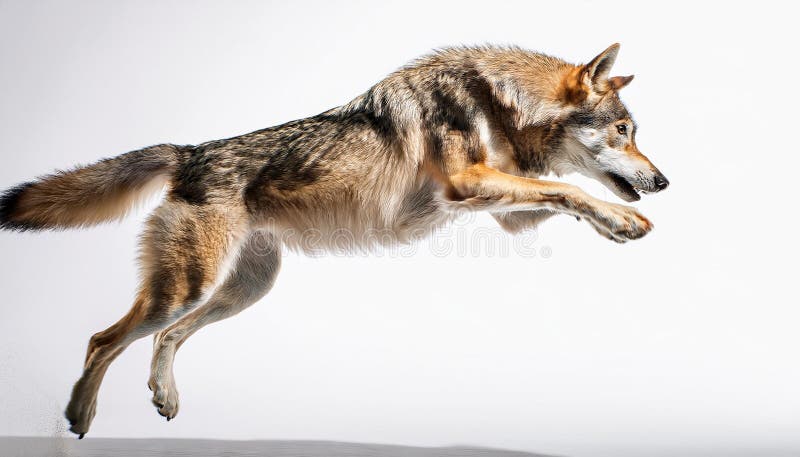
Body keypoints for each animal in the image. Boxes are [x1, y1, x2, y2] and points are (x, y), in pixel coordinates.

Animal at [0, 43, 668, 437]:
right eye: (623, 130)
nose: (663, 181)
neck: (502, 101)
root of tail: (188, 152)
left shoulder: (505, 210)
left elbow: (559, 193)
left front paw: (615, 223)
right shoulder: (470, 183)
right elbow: (566, 188)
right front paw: (623, 219)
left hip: (243, 291)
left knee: (163, 337)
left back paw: (163, 399)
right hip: (186, 289)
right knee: (101, 340)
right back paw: (77, 417)